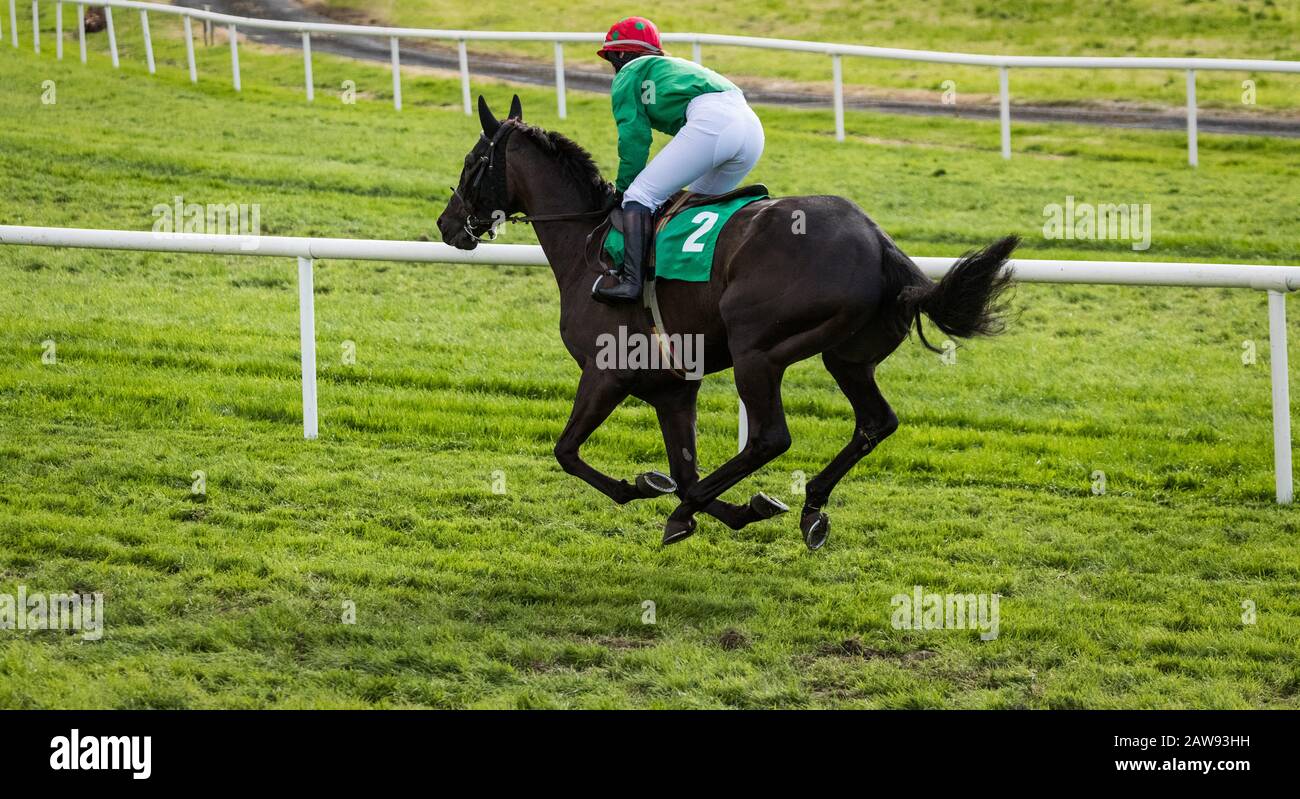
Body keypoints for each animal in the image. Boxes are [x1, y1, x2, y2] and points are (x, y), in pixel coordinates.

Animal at [437, 95, 1018, 550]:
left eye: (472, 160)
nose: (447, 224)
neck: (589, 245)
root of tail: (881, 246)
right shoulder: (673, 389)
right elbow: (681, 465)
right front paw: (731, 509)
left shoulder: (606, 373)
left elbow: (569, 453)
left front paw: (647, 491)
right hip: (847, 356)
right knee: (876, 421)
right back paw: (810, 506)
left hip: (756, 350)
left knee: (769, 437)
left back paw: (695, 507)